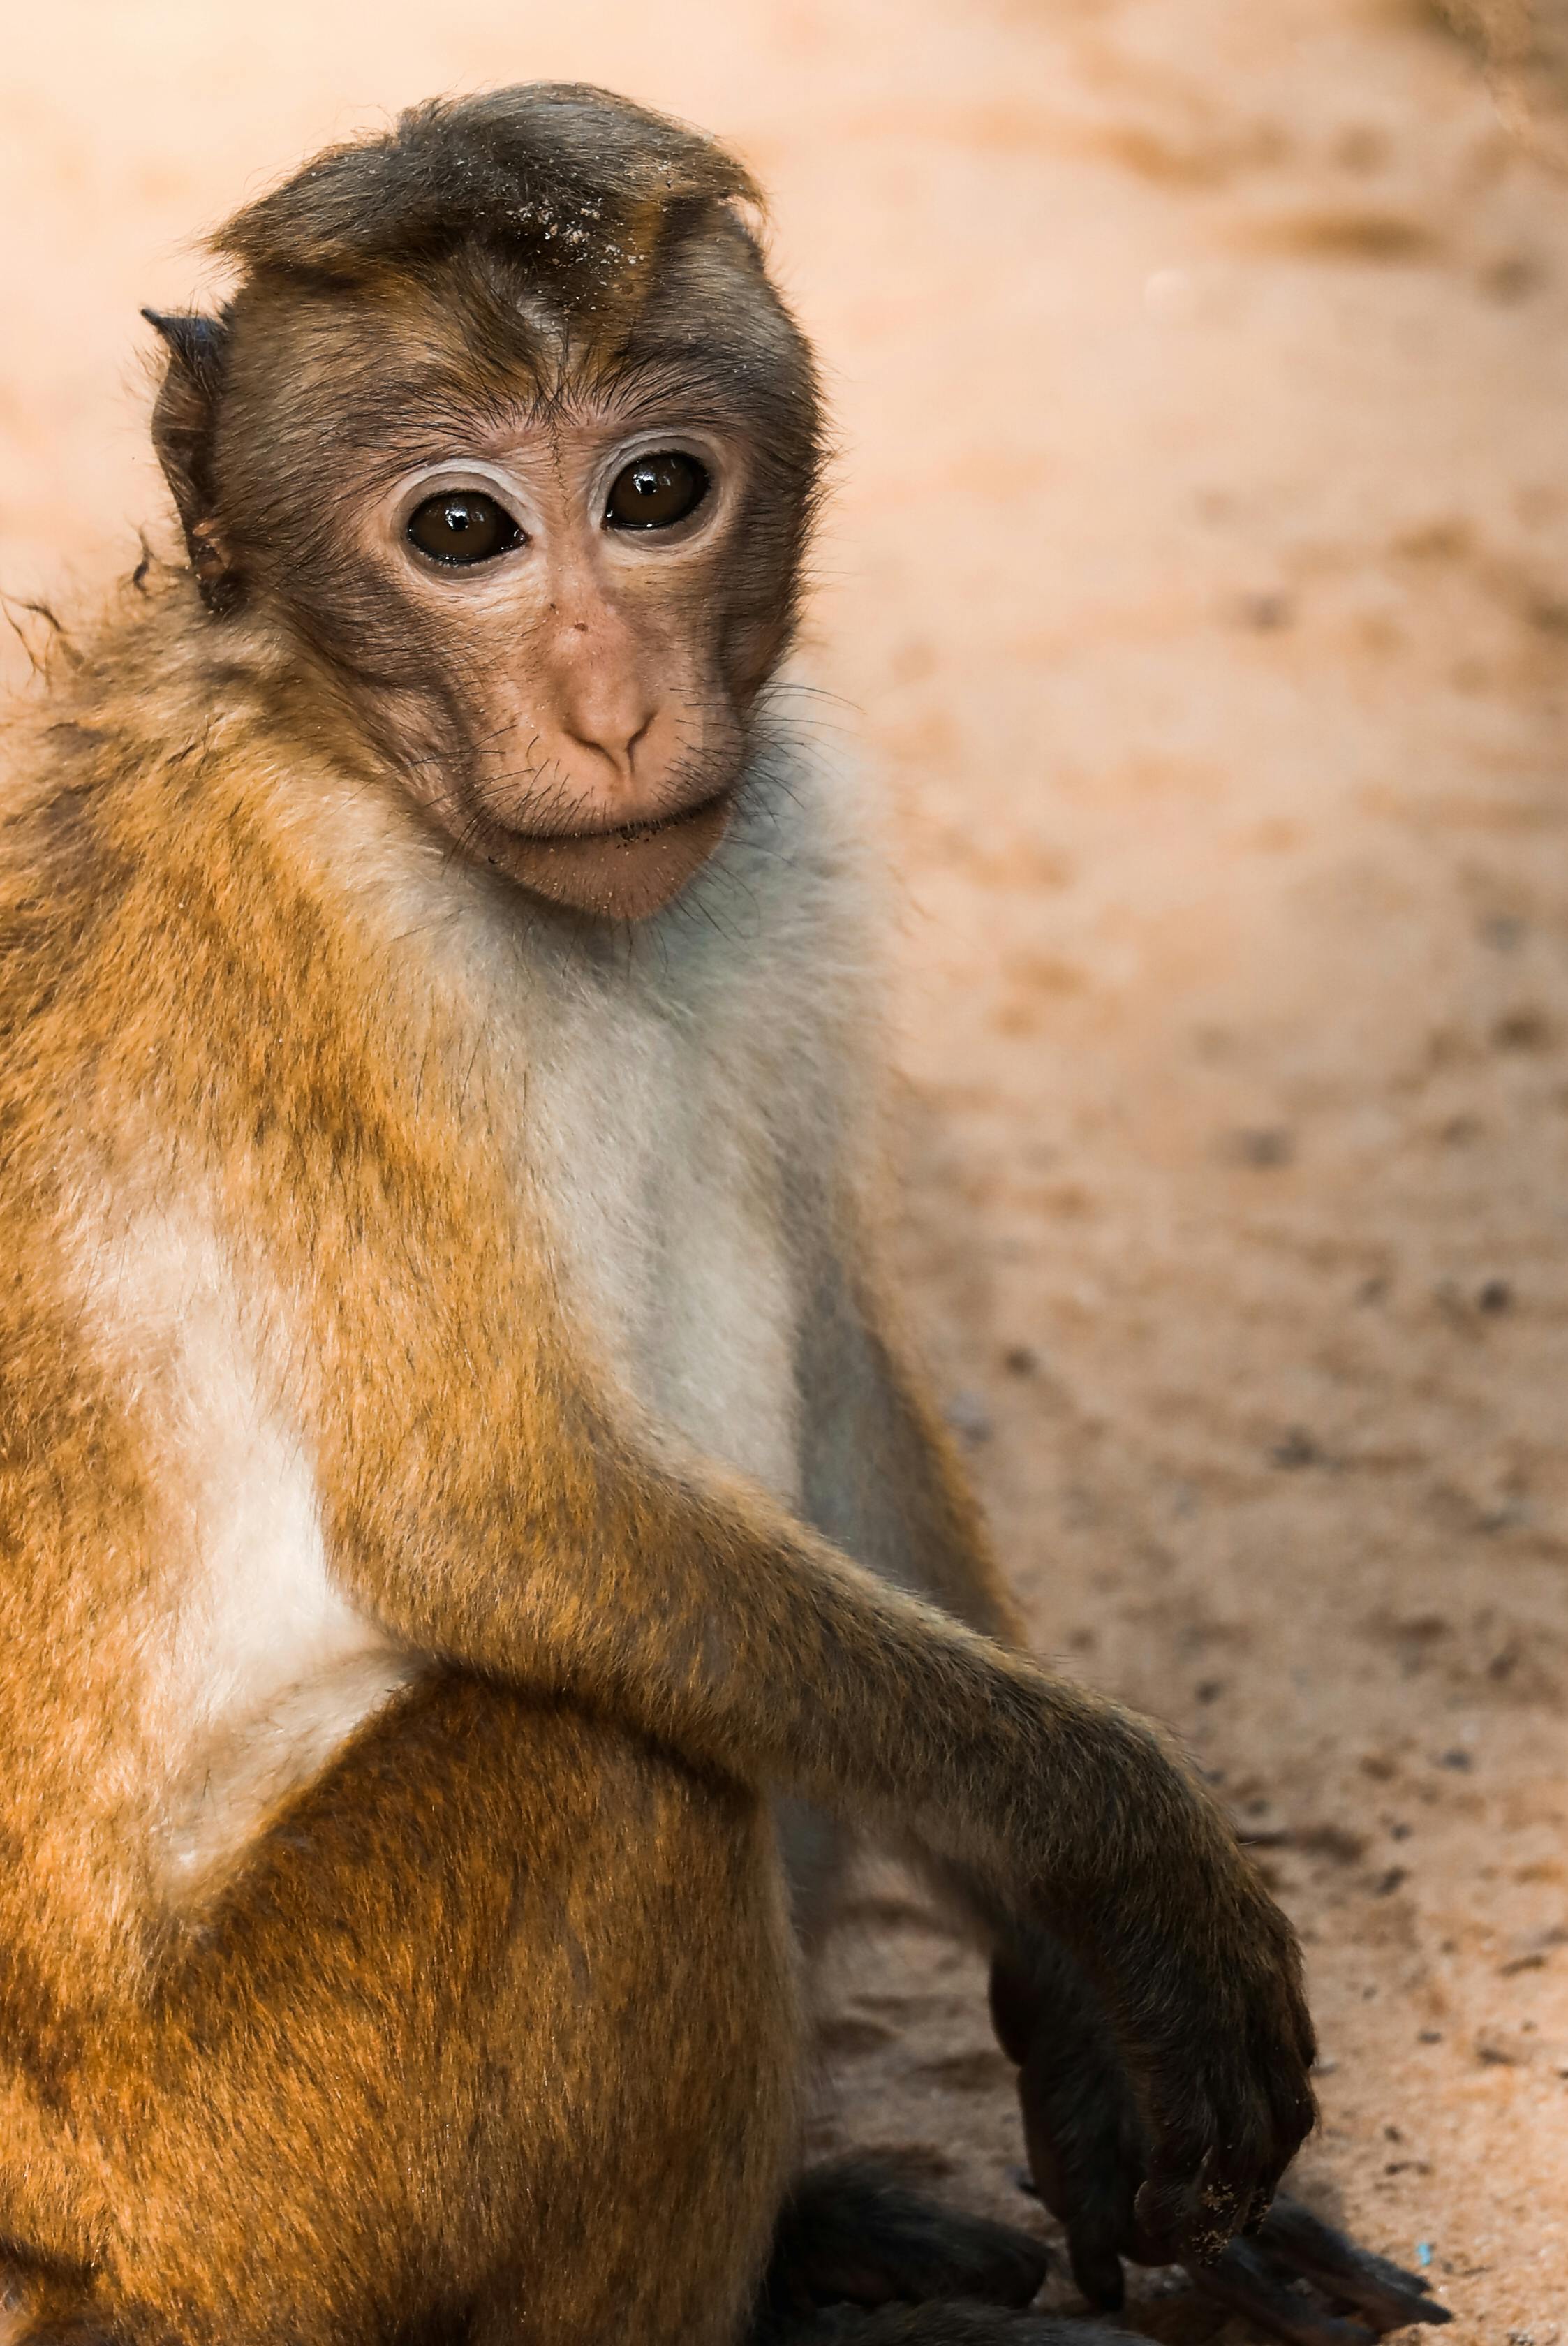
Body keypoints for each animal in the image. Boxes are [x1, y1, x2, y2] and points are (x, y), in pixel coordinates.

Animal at [0, 86, 1449, 2346]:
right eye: (462, 533)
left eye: (657, 493)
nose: (608, 707)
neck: (365, 757)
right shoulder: (318, 931)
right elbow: (493, 1509)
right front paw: (1122, 1854)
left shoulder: (778, 830)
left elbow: (837, 1354)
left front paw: (1067, 1977)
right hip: (221, 2186)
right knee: (612, 1775)